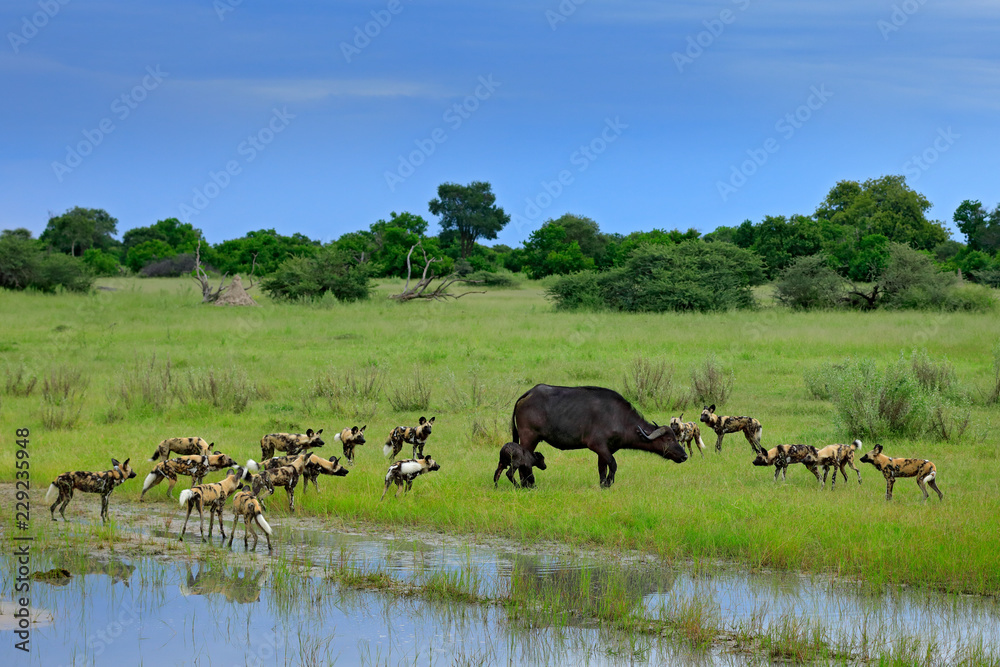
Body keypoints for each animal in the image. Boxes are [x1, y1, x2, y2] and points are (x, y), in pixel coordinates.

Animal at [510, 384, 687, 488]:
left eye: (676, 437)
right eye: (669, 439)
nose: (685, 456)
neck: (619, 418)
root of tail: (528, 393)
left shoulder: (605, 450)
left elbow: (602, 468)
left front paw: (603, 484)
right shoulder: (597, 445)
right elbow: (613, 464)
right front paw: (609, 483)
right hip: (529, 438)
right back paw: (527, 485)